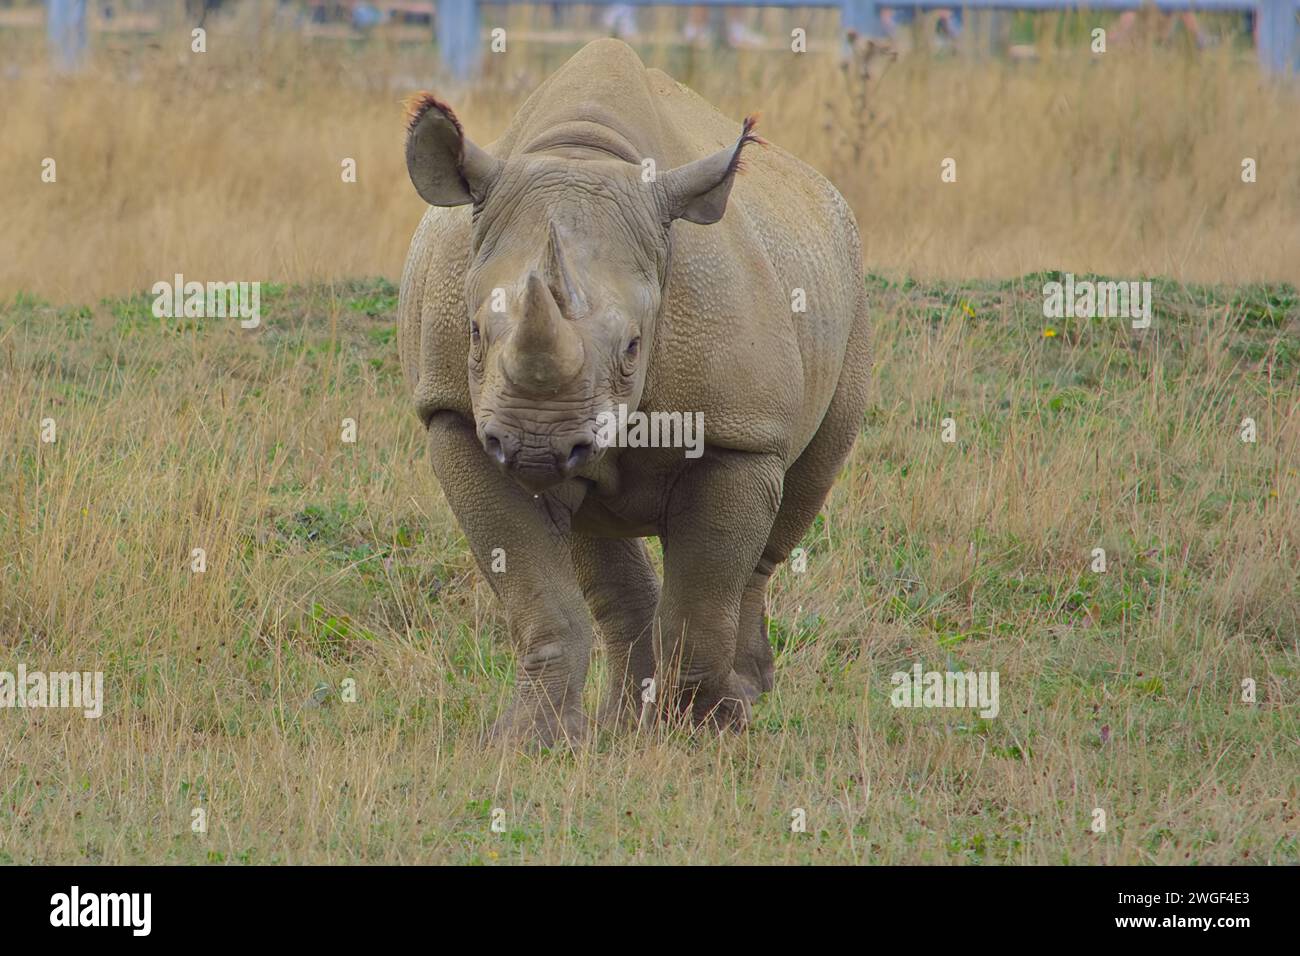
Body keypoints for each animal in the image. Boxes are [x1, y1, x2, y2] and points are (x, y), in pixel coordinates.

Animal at [398, 39, 870, 748]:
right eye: (475, 331)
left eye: (632, 347)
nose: (535, 447)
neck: (583, 154)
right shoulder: (457, 415)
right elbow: (538, 595)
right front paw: (528, 742)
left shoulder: (739, 434)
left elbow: (703, 597)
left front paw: (705, 735)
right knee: (595, 538)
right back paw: (624, 721)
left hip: (848, 282)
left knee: (792, 506)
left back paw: (744, 694)